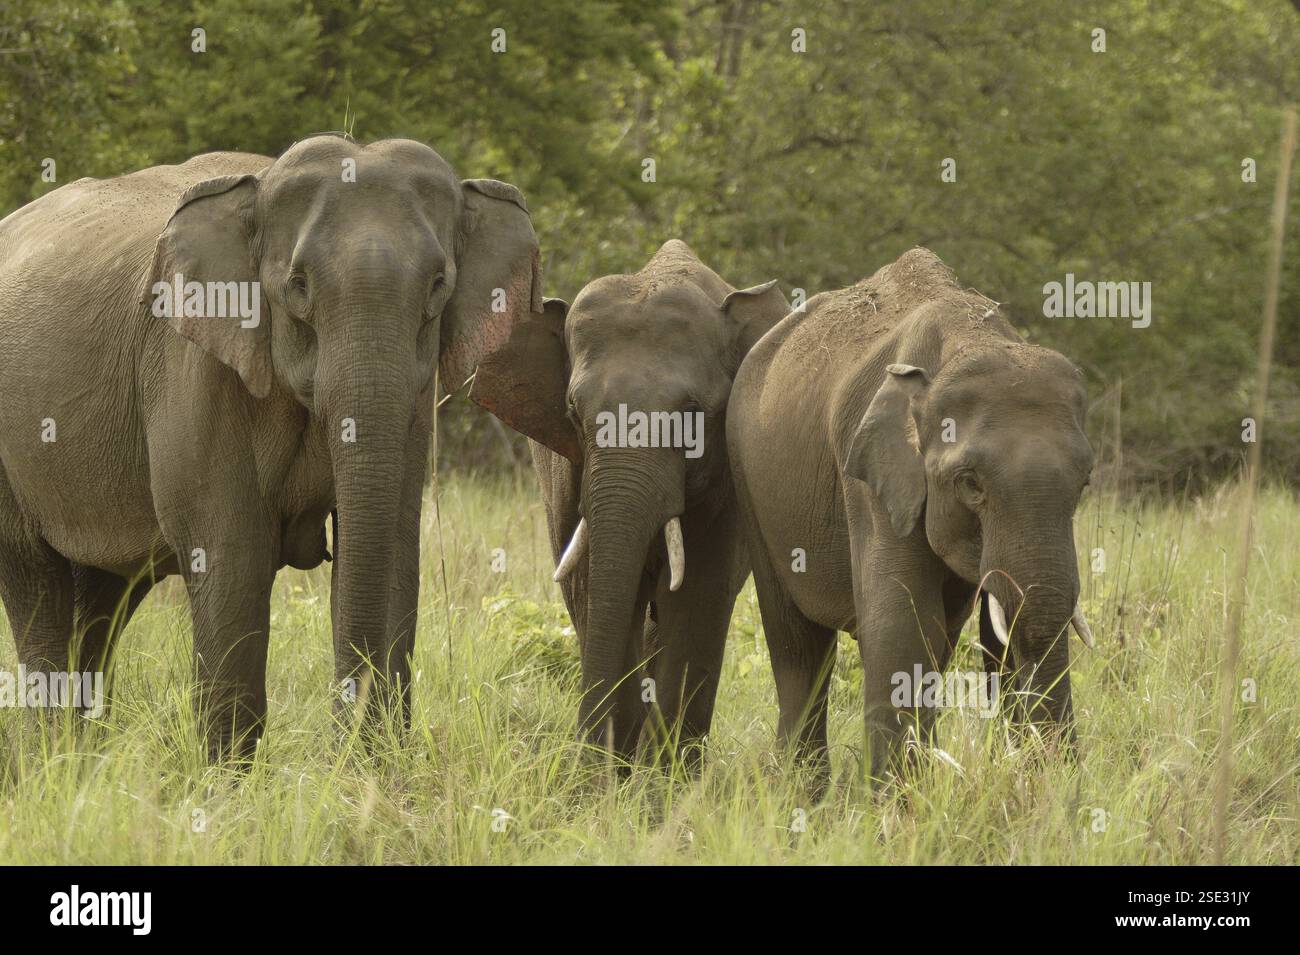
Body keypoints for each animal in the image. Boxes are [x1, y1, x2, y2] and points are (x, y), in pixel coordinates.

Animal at [0, 133, 545, 759]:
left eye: (438, 286)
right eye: (298, 286)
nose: (340, 746)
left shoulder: (415, 396)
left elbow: (394, 547)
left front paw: (376, 764)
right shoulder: (195, 367)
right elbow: (232, 552)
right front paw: (227, 773)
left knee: (103, 593)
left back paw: (82, 756)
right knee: (36, 581)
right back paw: (52, 756)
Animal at [471, 240, 788, 763]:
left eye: (692, 414)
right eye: (573, 412)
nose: (579, 758)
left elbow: (699, 592)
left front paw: (663, 776)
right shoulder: (570, 473)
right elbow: (591, 584)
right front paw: (610, 770)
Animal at [727, 247, 1095, 784]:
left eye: (1084, 482)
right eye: (970, 484)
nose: (1061, 775)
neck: (969, 338)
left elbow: (983, 632)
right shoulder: (871, 479)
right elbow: (899, 625)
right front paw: (896, 802)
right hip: (749, 483)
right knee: (797, 646)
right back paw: (803, 795)